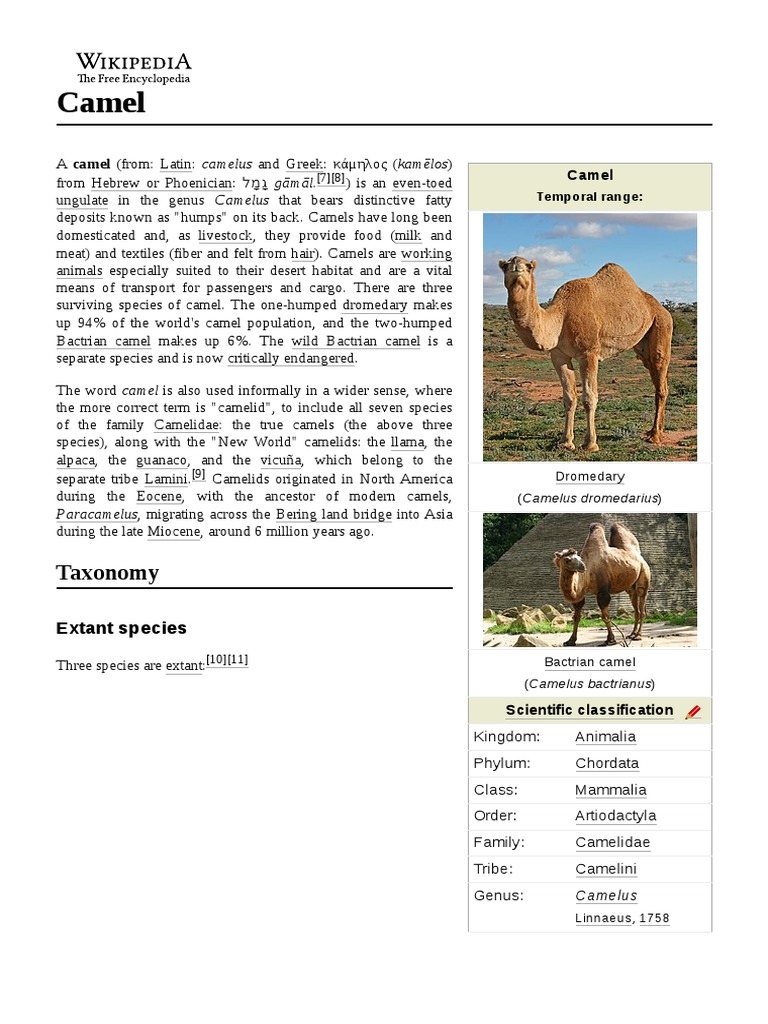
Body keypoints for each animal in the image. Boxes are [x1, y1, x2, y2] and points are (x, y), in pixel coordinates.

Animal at [498, 257, 672, 452]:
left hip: (662, 325)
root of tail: (661, 308)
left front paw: (590, 444)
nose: (517, 266)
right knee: (657, 377)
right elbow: (569, 397)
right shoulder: (558, 356)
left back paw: (655, 436)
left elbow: (589, 397)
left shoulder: (588, 353)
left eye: (529, 266)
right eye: (505, 266)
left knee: (661, 380)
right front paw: (566, 442)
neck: (561, 317)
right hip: (642, 344)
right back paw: (655, 431)